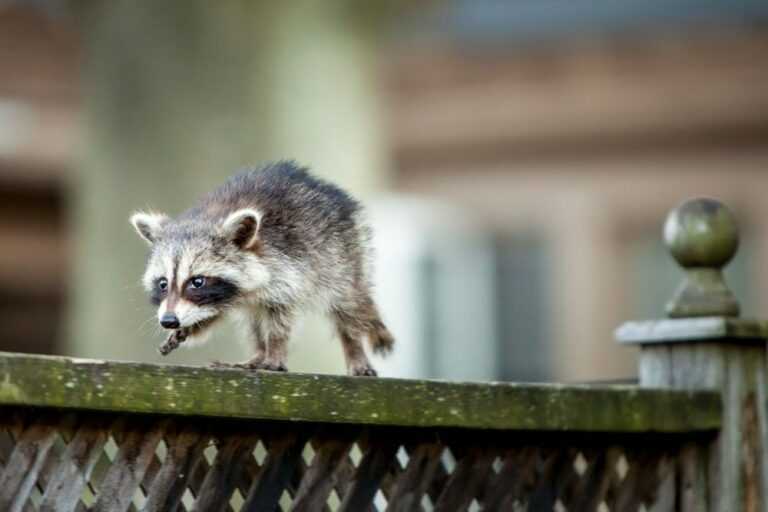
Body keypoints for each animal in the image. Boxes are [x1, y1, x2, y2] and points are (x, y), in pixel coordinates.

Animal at [130, 161, 394, 376]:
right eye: (163, 283)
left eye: (197, 282)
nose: (169, 320)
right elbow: (215, 314)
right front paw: (190, 327)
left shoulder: (288, 269)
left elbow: (281, 317)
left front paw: (275, 352)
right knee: (254, 320)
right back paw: (257, 353)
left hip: (343, 255)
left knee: (348, 305)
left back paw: (354, 348)